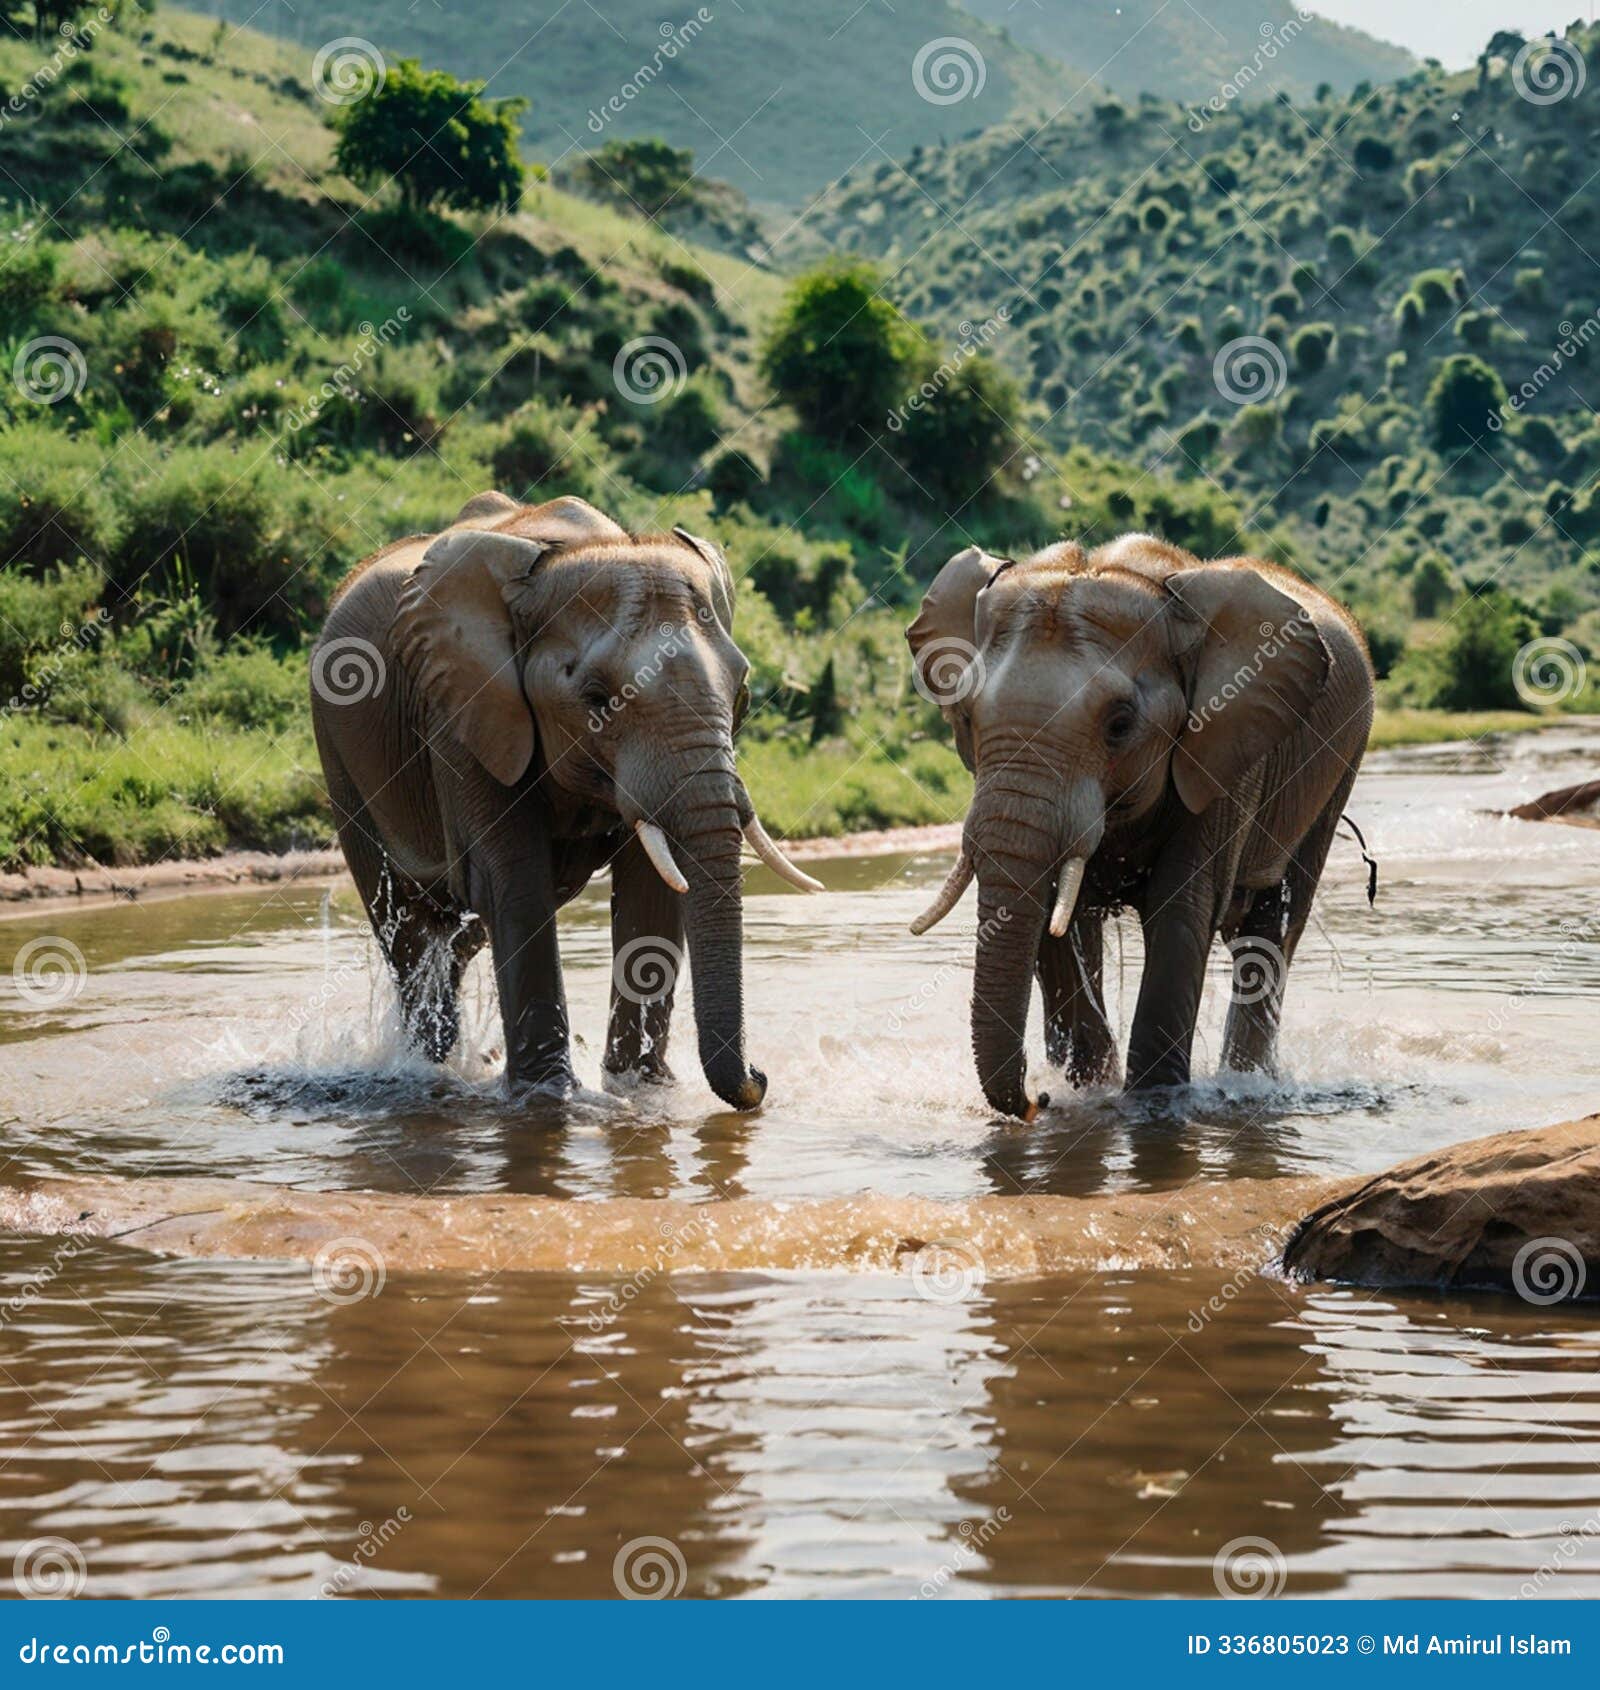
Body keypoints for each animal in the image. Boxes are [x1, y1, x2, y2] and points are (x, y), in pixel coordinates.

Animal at [310, 492, 820, 1113]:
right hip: (338, 752)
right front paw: (552, 1099)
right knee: (408, 926)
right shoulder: (462, 711)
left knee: (457, 938)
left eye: (742, 692)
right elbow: (511, 882)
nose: (760, 1077)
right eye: (597, 699)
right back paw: (427, 1066)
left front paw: (644, 1091)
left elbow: (653, 888)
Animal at [906, 532, 1374, 1121]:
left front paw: (1154, 1106)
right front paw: (1087, 1091)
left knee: (1270, 929)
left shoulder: (1225, 748)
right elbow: (1055, 919)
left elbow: (1180, 914)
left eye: (1120, 724)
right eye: (965, 717)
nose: (1038, 1099)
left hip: (1340, 768)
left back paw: (1248, 1084)